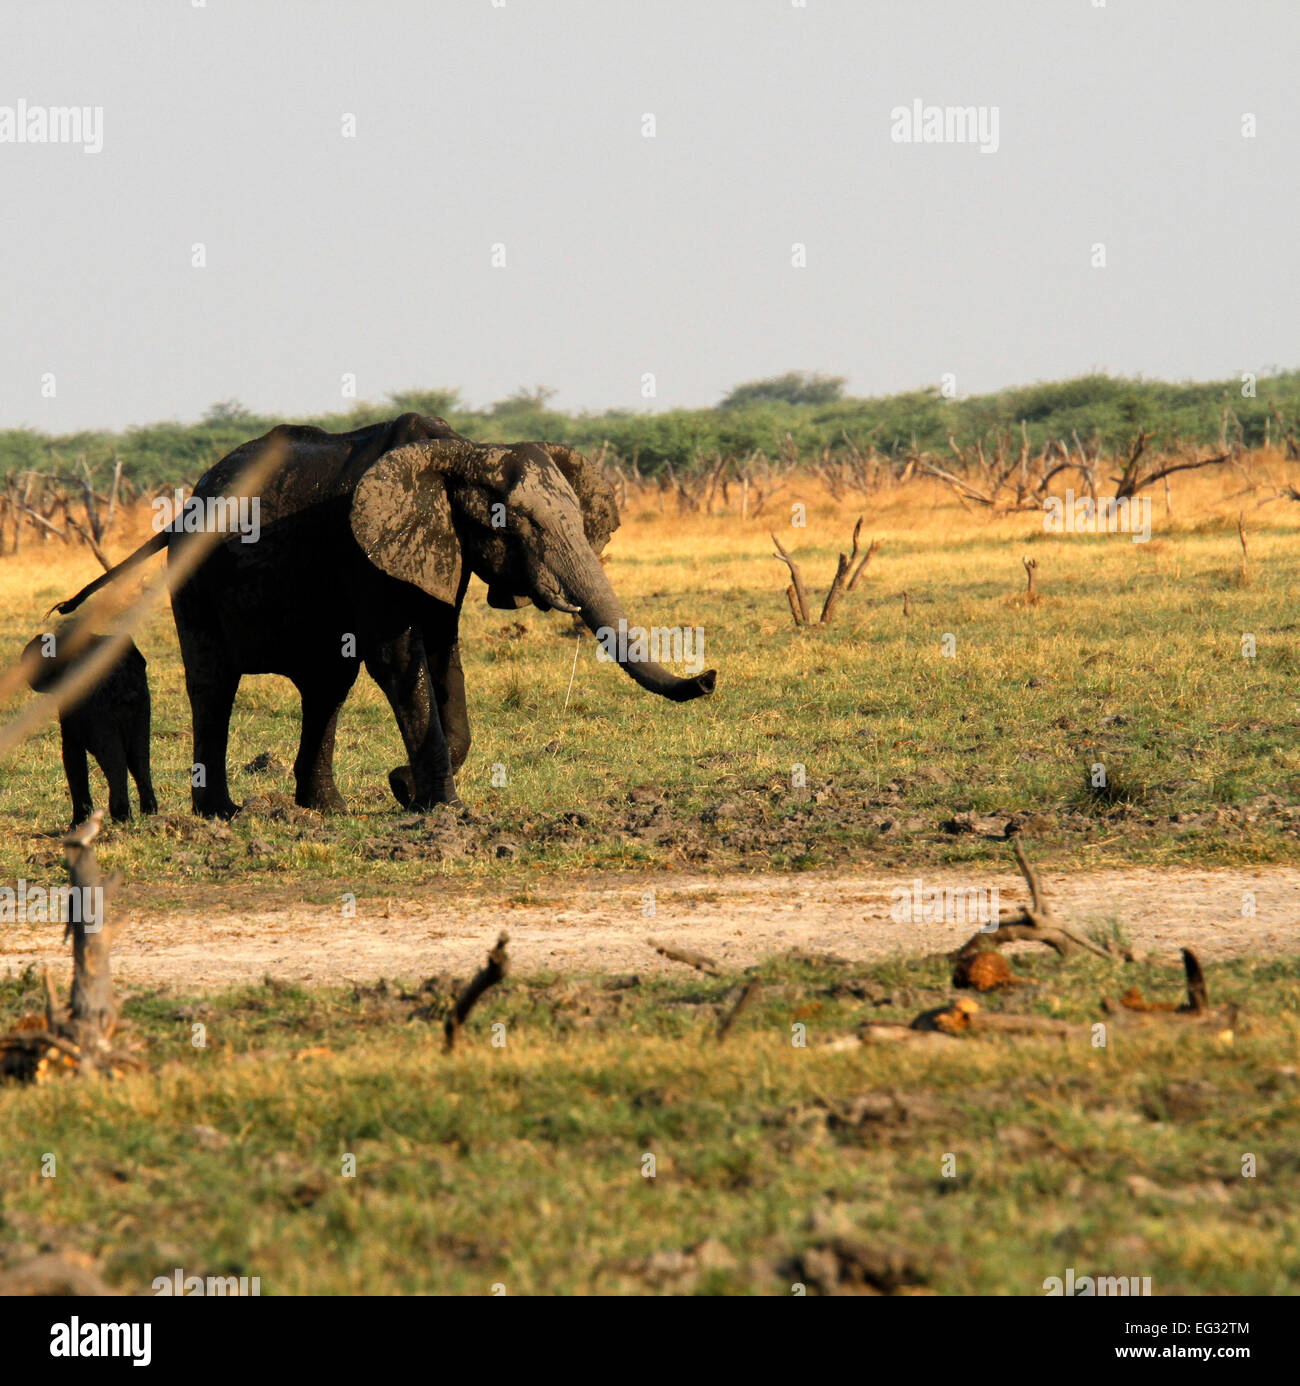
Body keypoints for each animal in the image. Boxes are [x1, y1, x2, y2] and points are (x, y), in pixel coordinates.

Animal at [23, 631, 158, 827]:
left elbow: (72, 755)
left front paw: (76, 824)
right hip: (141, 705)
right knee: (139, 757)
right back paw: (149, 814)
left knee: (114, 761)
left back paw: (121, 819)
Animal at [53, 414, 715, 817]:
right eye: (514, 522)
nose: (708, 678)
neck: (465, 451)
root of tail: (184, 505)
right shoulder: (364, 552)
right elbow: (399, 660)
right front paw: (440, 807)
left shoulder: (438, 550)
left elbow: (444, 658)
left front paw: (408, 790)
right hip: (193, 579)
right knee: (215, 684)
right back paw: (223, 813)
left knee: (327, 686)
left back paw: (326, 809)